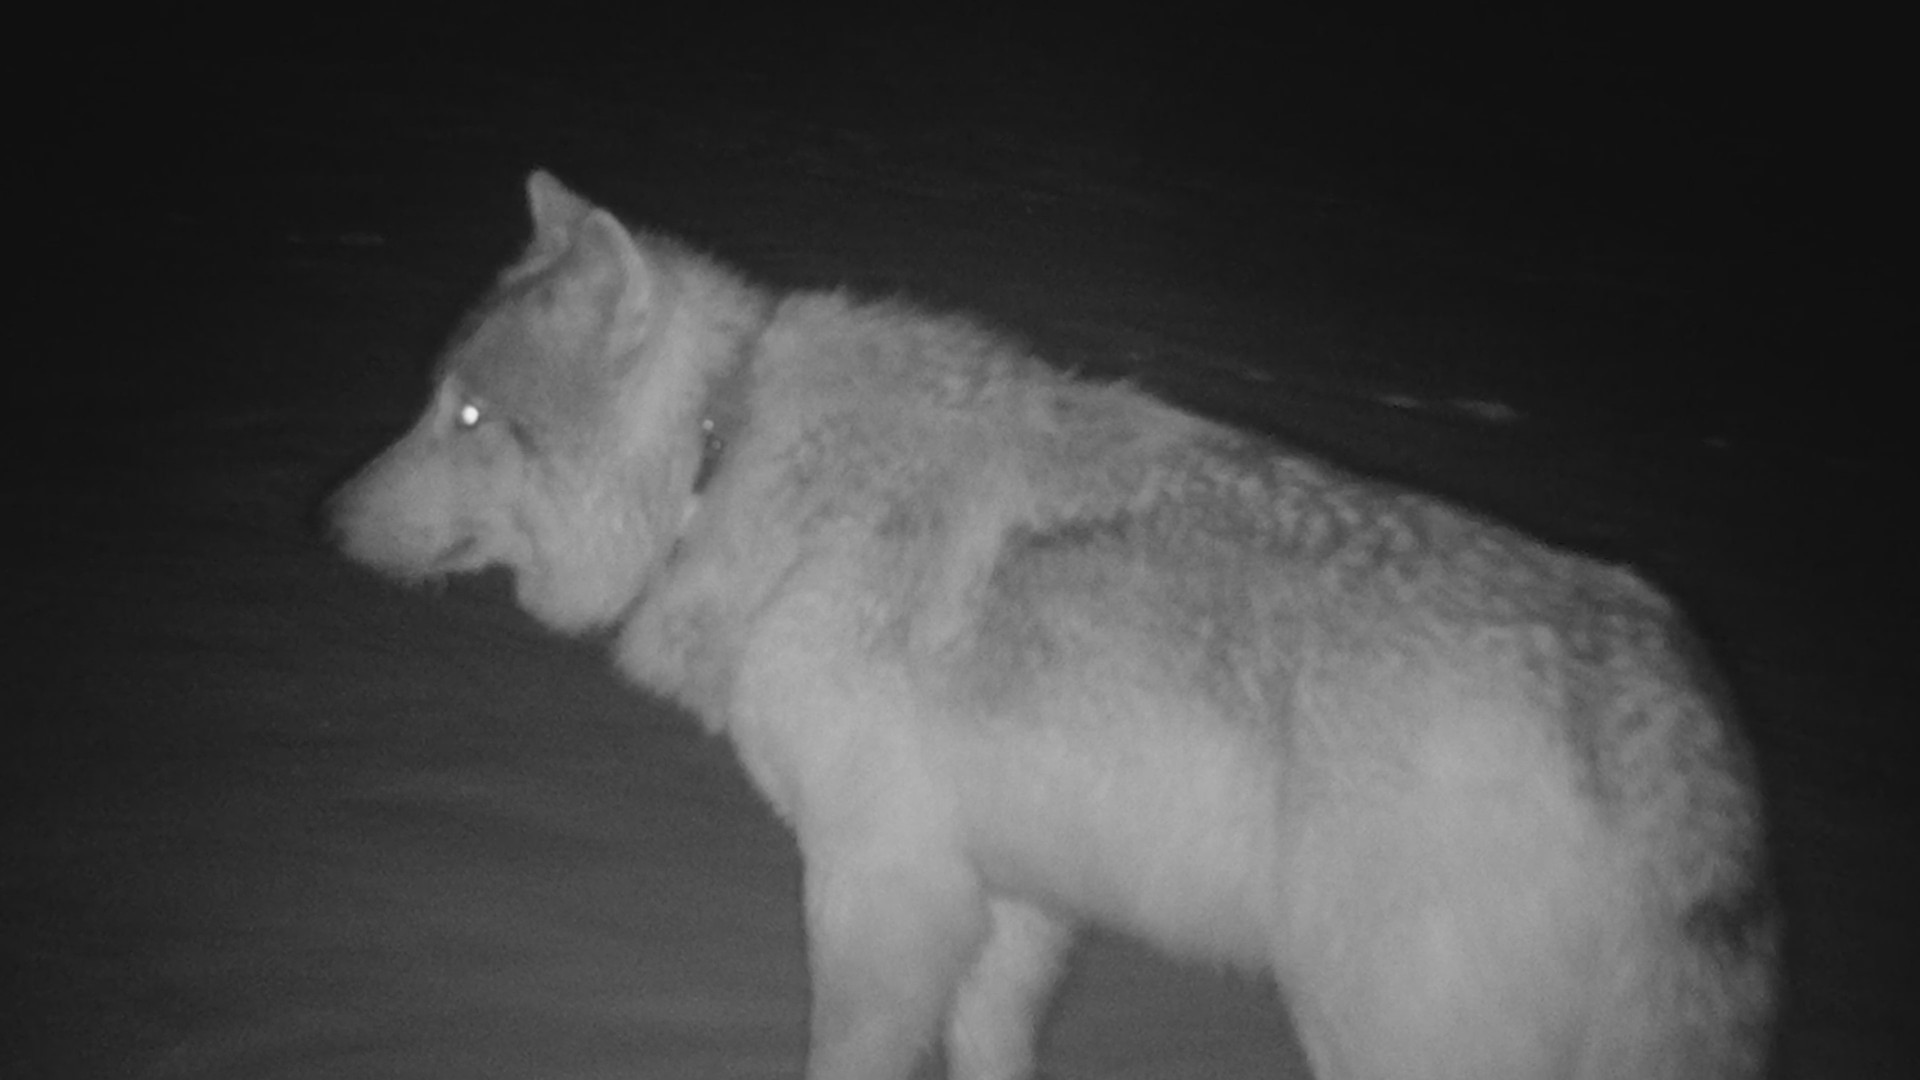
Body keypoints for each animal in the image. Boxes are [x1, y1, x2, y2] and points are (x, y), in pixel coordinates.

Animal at [329, 171, 1779, 1079]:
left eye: (469, 416)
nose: (326, 517)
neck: (723, 458)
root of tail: (1655, 679)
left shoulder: (881, 888)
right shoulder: (1012, 908)